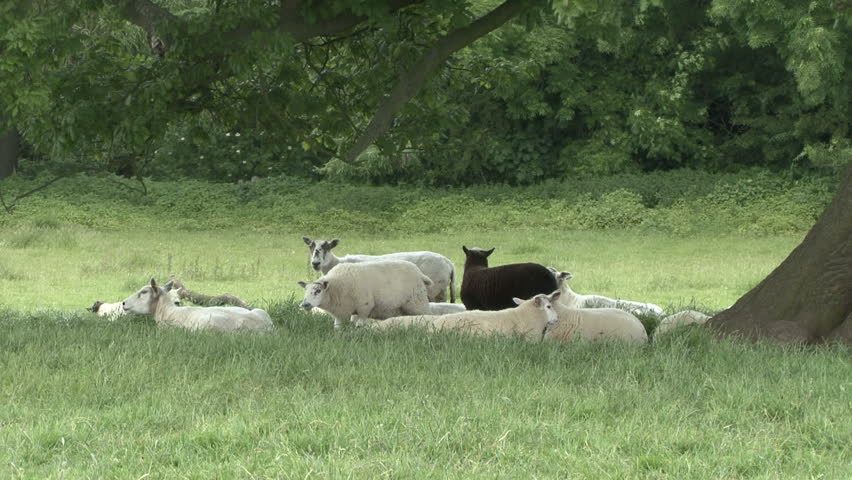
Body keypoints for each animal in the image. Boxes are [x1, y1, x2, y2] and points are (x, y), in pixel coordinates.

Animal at [297, 260, 432, 329]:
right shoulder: (340, 312)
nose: (305, 304)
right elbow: (338, 328)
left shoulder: (364, 306)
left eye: (318, 291)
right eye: (305, 291)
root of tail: (420, 273)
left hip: (417, 303)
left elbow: (360, 324)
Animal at [302, 236, 456, 303]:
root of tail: (449, 263)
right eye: (310, 246)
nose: (315, 263)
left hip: (435, 290)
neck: (336, 263)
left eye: (327, 247)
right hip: (442, 289)